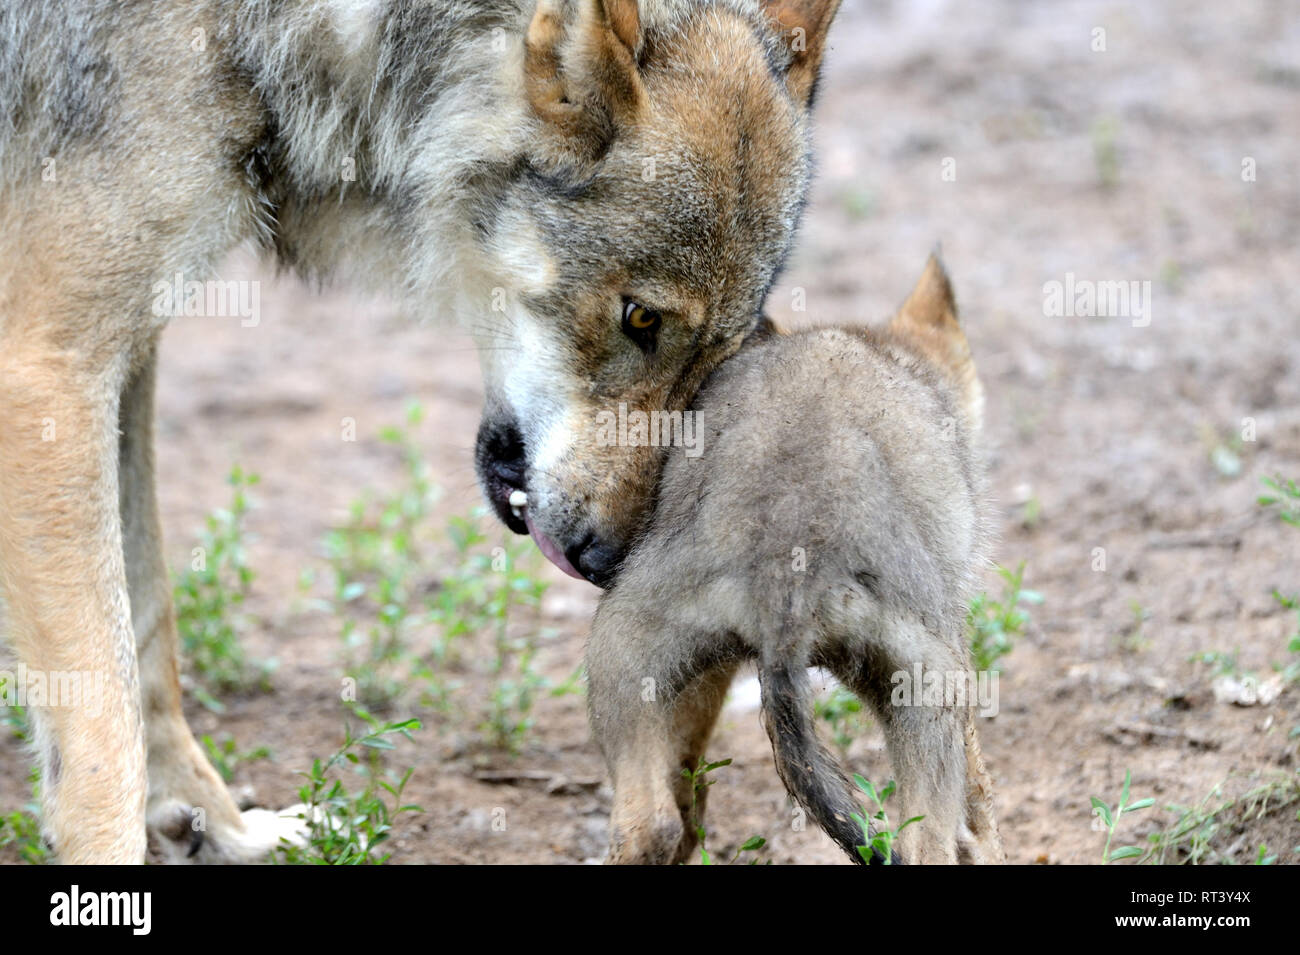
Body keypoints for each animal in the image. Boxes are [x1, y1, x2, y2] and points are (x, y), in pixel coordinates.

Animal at [0, 0, 841, 863]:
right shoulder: (47, 364)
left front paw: (217, 827)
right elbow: (105, 732)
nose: (607, 560)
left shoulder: (129, 346)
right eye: (640, 318)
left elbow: (149, 633)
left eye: (718, 355)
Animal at [586, 256, 1005, 865]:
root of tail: (786, 572)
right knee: (926, 845)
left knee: (652, 821)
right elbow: (980, 807)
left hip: (619, 656)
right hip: (932, 685)